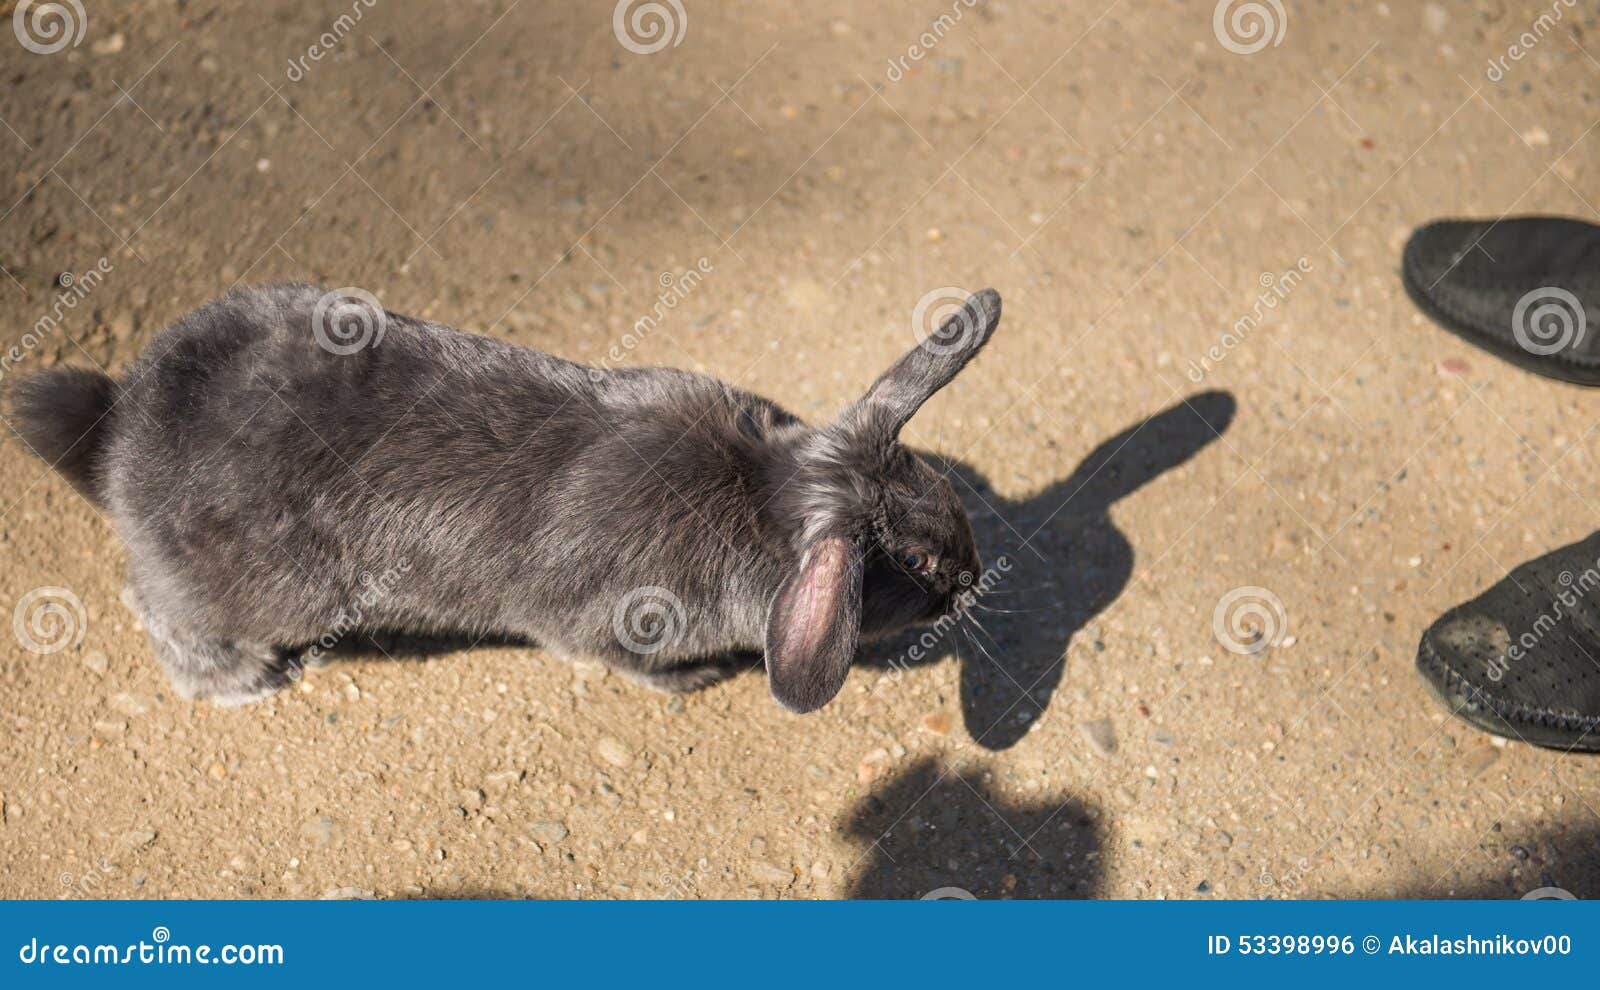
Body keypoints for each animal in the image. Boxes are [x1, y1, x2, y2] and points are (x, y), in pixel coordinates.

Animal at [9, 281, 1002, 712]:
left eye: (935, 482)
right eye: (913, 562)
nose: (973, 575)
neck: (764, 490)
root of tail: (121, 428)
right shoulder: (602, 623)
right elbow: (623, 660)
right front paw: (695, 679)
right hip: (260, 591)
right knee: (157, 608)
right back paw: (246, 680)